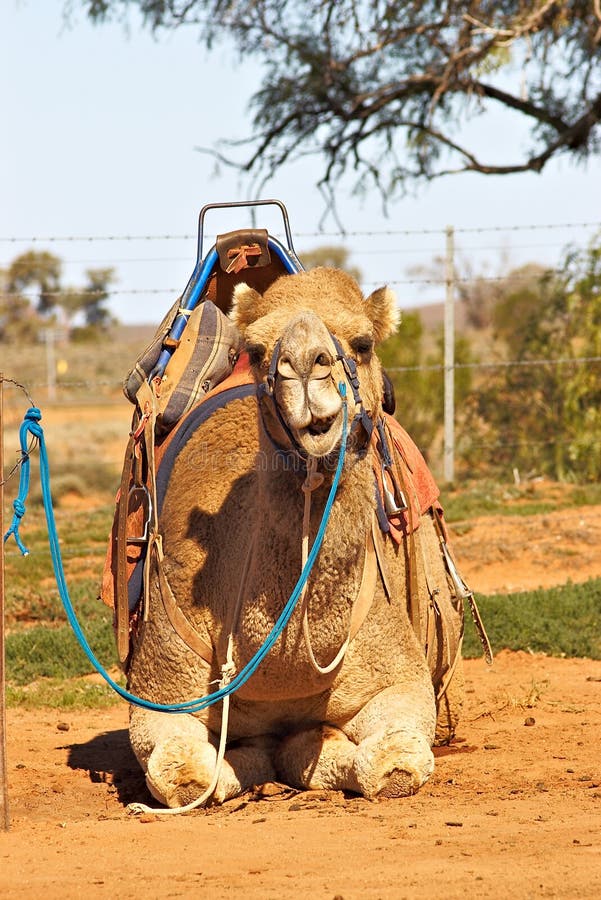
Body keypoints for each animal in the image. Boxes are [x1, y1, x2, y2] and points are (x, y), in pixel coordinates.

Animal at [125, 266, 465, 809]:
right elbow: (186, 776)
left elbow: (392, 765)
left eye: (363, 343)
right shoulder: (161, 695)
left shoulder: (398, 682)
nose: (304, 362)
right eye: (258, 350)